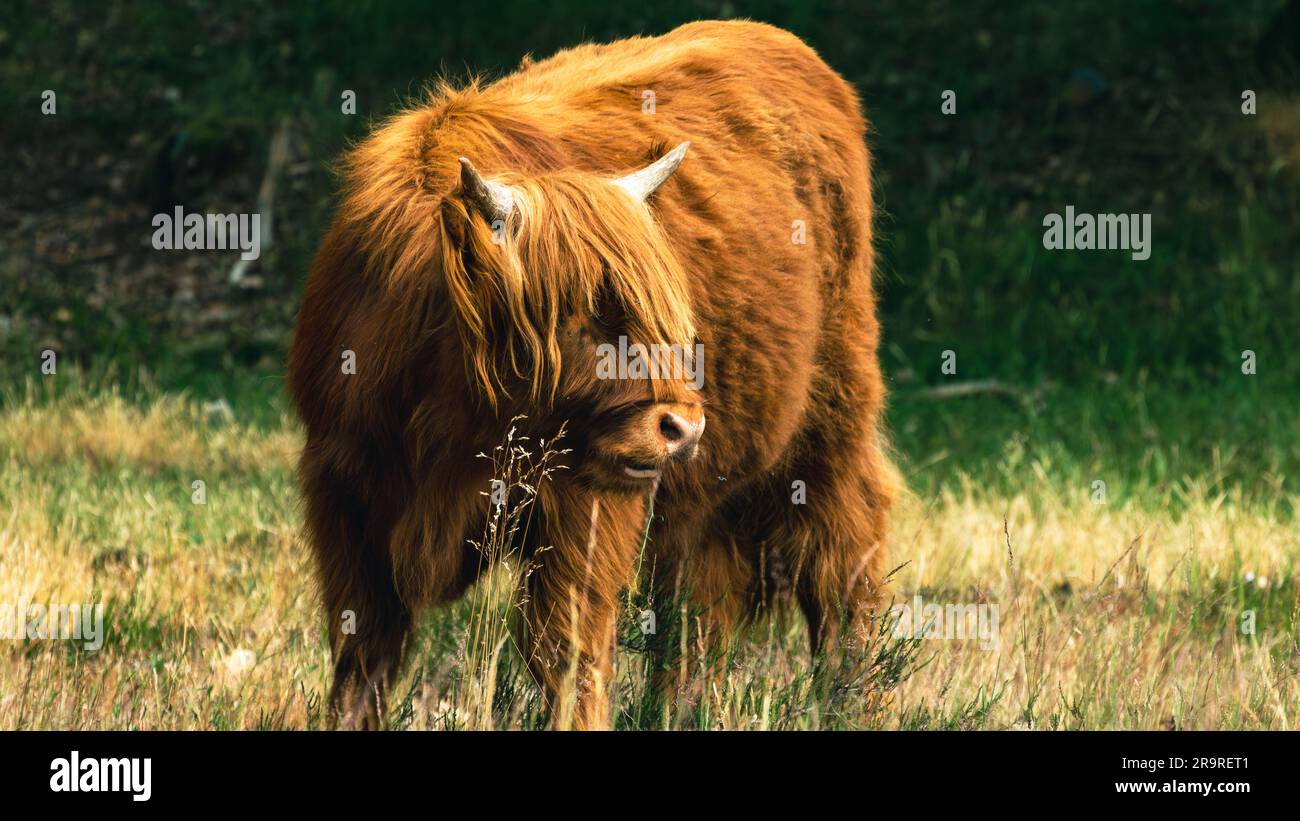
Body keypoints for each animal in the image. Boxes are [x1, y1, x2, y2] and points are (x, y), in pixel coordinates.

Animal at [287, 19, 898, 729]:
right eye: (578, 315)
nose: (682, 427)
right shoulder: (345, 490)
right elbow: (363, 652)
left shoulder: (585, 505)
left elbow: (565, 649)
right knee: (698, 602)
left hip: (832, 416)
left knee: (842, 554)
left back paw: (855, 699)